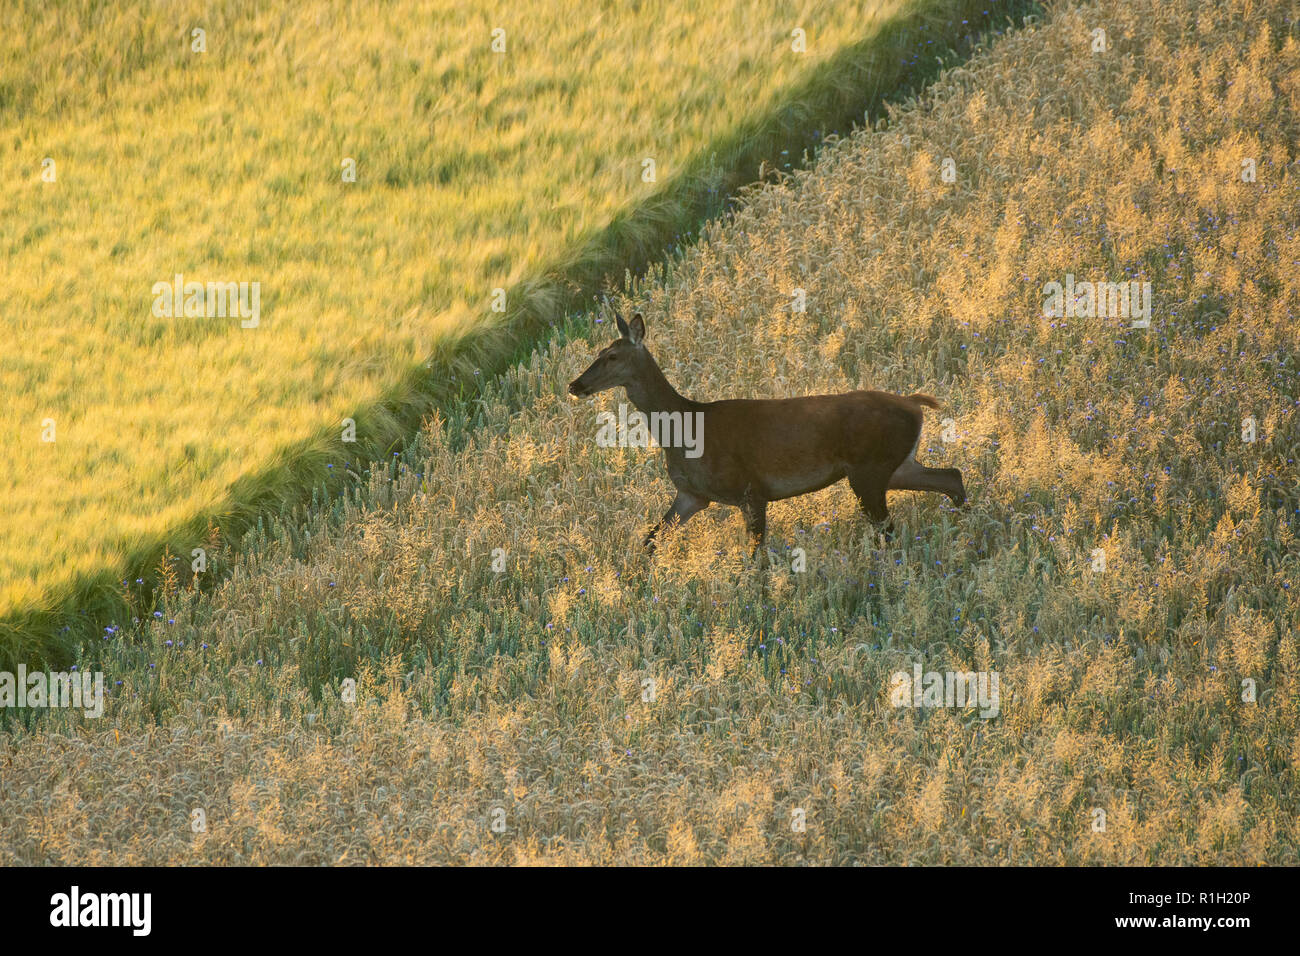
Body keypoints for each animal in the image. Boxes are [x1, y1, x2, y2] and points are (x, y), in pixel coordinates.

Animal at [567, 312, 966, 559]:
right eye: (598, 351)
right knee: (951, 476)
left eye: (613, 356)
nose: (575, 385)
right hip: (893, 464)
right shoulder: (693, 495)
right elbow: (650, 540)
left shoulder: (751, 489)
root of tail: (914, 404)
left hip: (869, 469)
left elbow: (757, 558)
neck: (685, 429)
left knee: (888, 527)